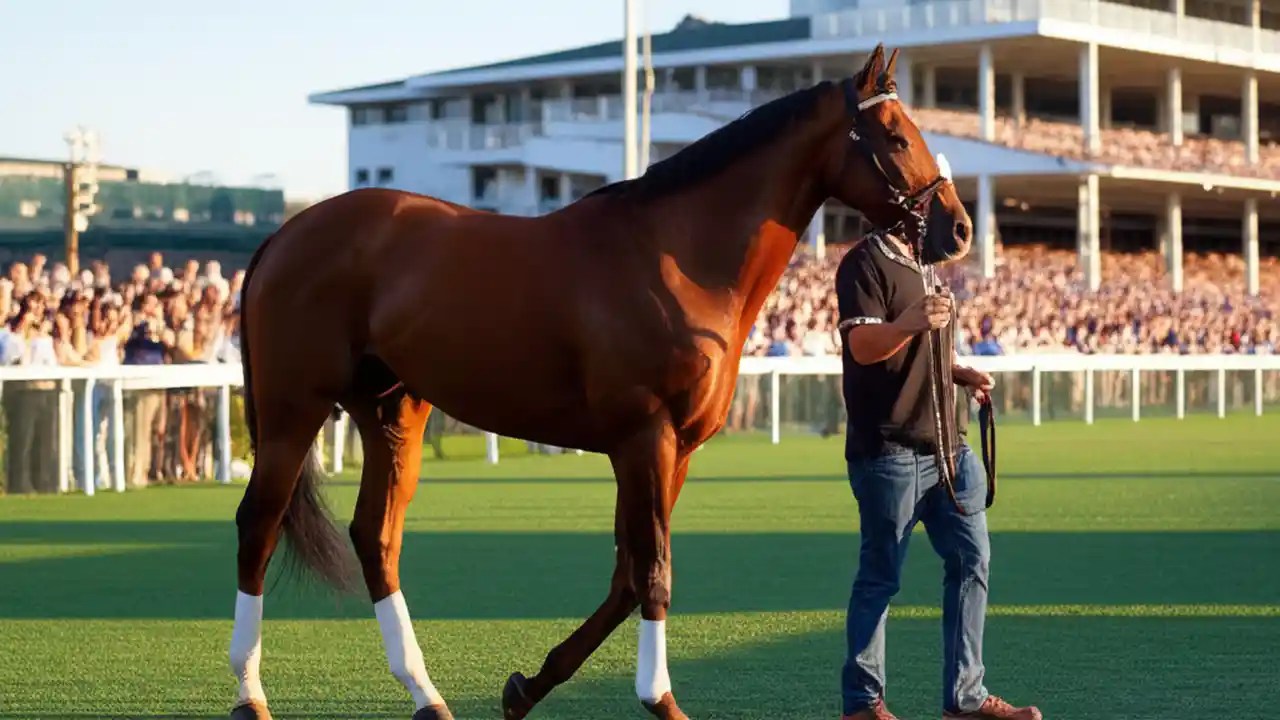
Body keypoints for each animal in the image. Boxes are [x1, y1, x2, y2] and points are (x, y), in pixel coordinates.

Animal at [227, 43, 972, 720]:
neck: (675, 258)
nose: (959, 229)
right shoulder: (645, 437)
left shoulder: (673, 449)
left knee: (375, 537)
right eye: (897, 134)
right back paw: (249, 694)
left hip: (392, 410)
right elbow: (653, 572)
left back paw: (426, 696)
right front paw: (660, 699)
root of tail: (285, 235)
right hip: (295, 408)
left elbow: (627, 574)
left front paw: (526, 687)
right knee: (258, 524)